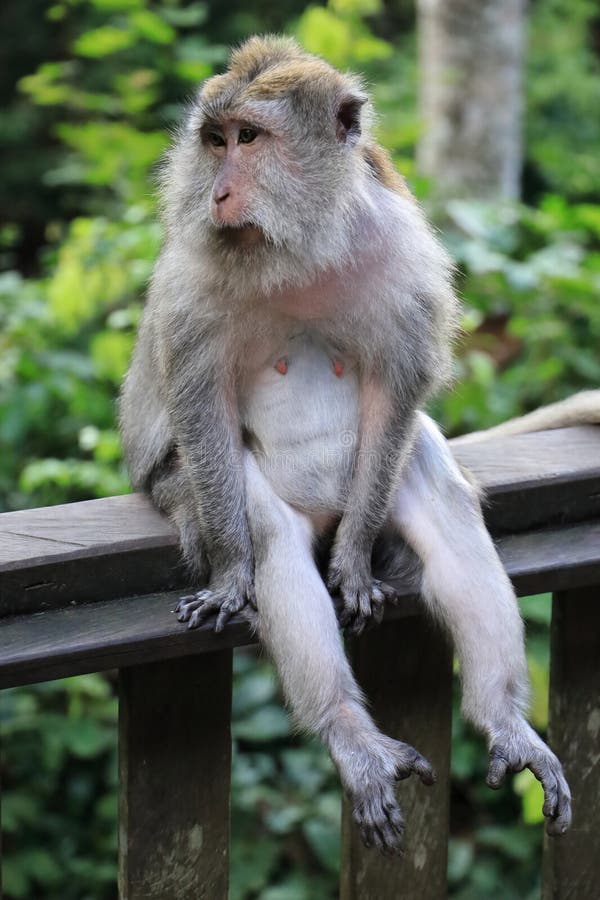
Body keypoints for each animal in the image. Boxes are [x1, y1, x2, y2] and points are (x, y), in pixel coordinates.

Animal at [119, 35, 572, 853]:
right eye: (214, 141)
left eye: (250, 138)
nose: (219, 193)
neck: (297, 247)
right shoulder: (194, 273)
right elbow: (200, 403)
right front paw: (232, 575)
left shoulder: (400, 247)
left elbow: (397, 387)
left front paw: (356, 559)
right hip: (190, 492)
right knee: (271, 534)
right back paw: (347, 730)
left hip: (381, 484)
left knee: (440, 499)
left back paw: (504, 718)